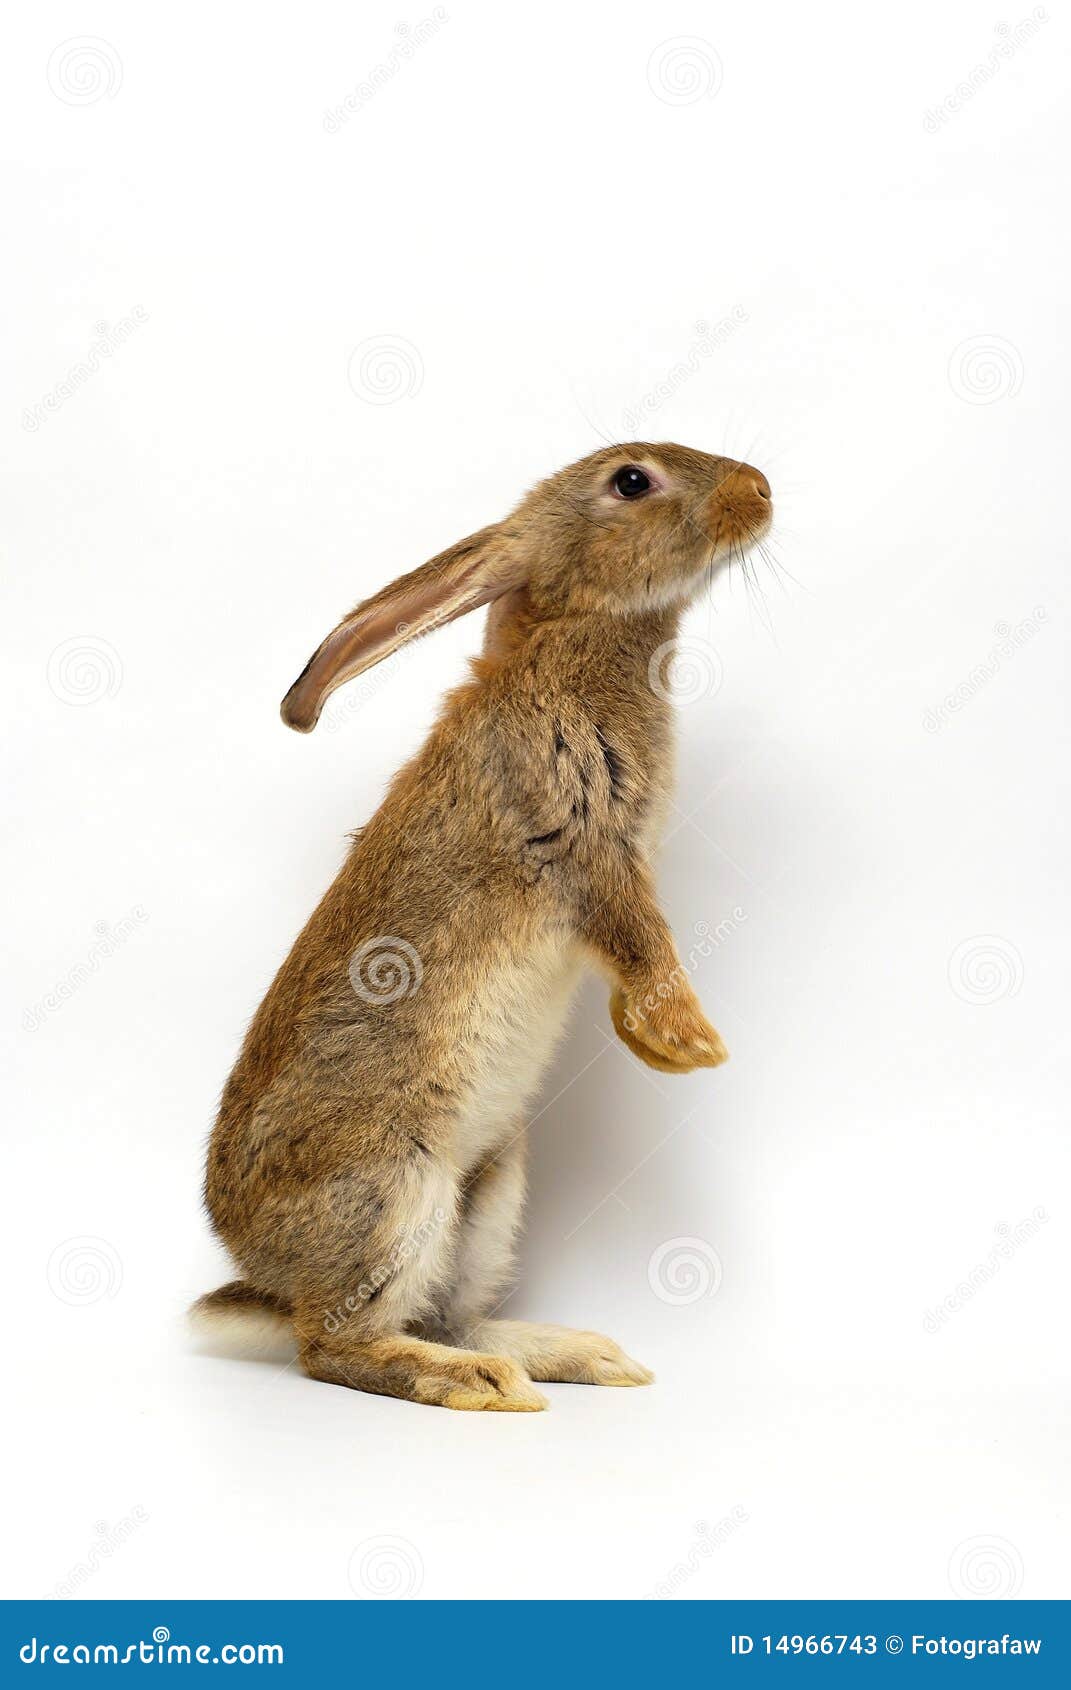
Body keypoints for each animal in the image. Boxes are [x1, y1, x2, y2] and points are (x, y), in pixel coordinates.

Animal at [191, 442, 772, 1410]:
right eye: (631, 482)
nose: (758, 491)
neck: (573, 639)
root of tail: (267, 1276)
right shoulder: (583, 839)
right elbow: (640, 940)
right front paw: (692, 1045)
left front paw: (652, 1044)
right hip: (395, 1190)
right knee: (335, 1347)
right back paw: (482, 1385)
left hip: (490, 1189)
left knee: (443, 1313)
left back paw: (578, 1356)